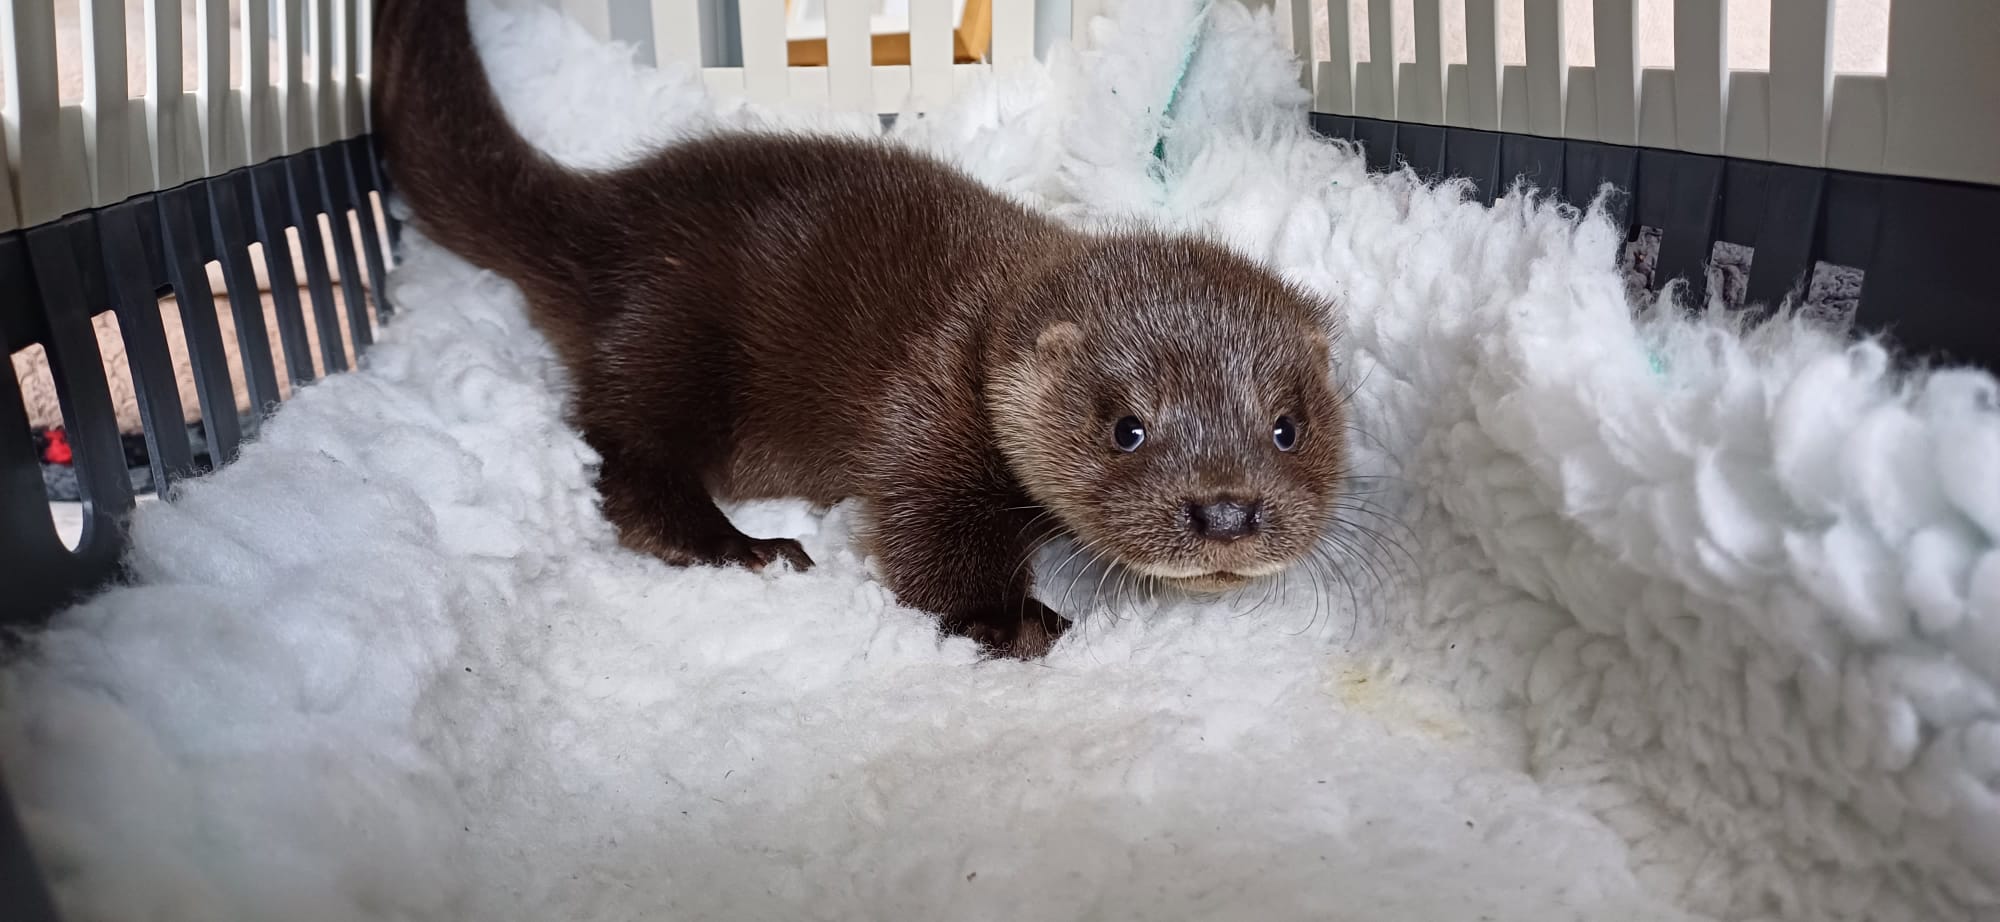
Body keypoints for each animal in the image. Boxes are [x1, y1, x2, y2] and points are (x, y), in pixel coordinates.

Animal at [372, 0, 1349, 658]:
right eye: (1126, 428)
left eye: (1287, 428)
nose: (1227, 511)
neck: (989, 327)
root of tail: (606, 212)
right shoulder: (928, 414)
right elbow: (924, 538)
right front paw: (1009, 619)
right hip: (667, 328)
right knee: (630, 463)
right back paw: (744, 546)